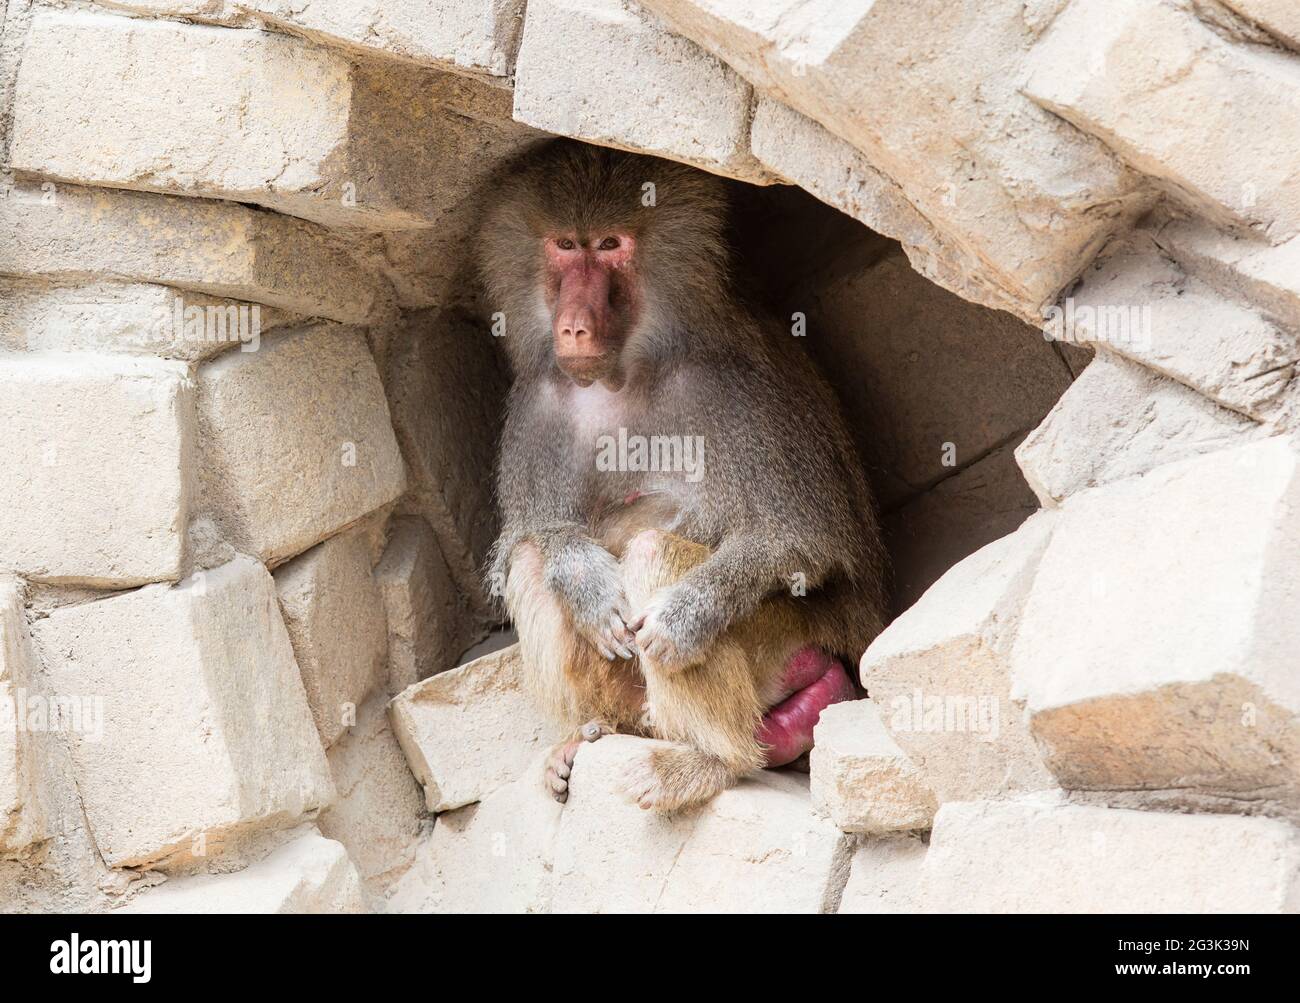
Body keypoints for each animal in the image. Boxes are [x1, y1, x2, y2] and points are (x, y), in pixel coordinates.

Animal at [478, 139, 889, 812]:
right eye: (564, 245)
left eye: (610, 244)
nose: (573, 327)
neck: (628, 367)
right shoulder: (539, 402)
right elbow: (539, 535)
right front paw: (589, 587)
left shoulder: (738, 390)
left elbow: (802, 540)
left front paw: (682, 621)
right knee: (533, 563)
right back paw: (587, 739)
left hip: (794, 641)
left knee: (652, 551)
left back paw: (708, 762)